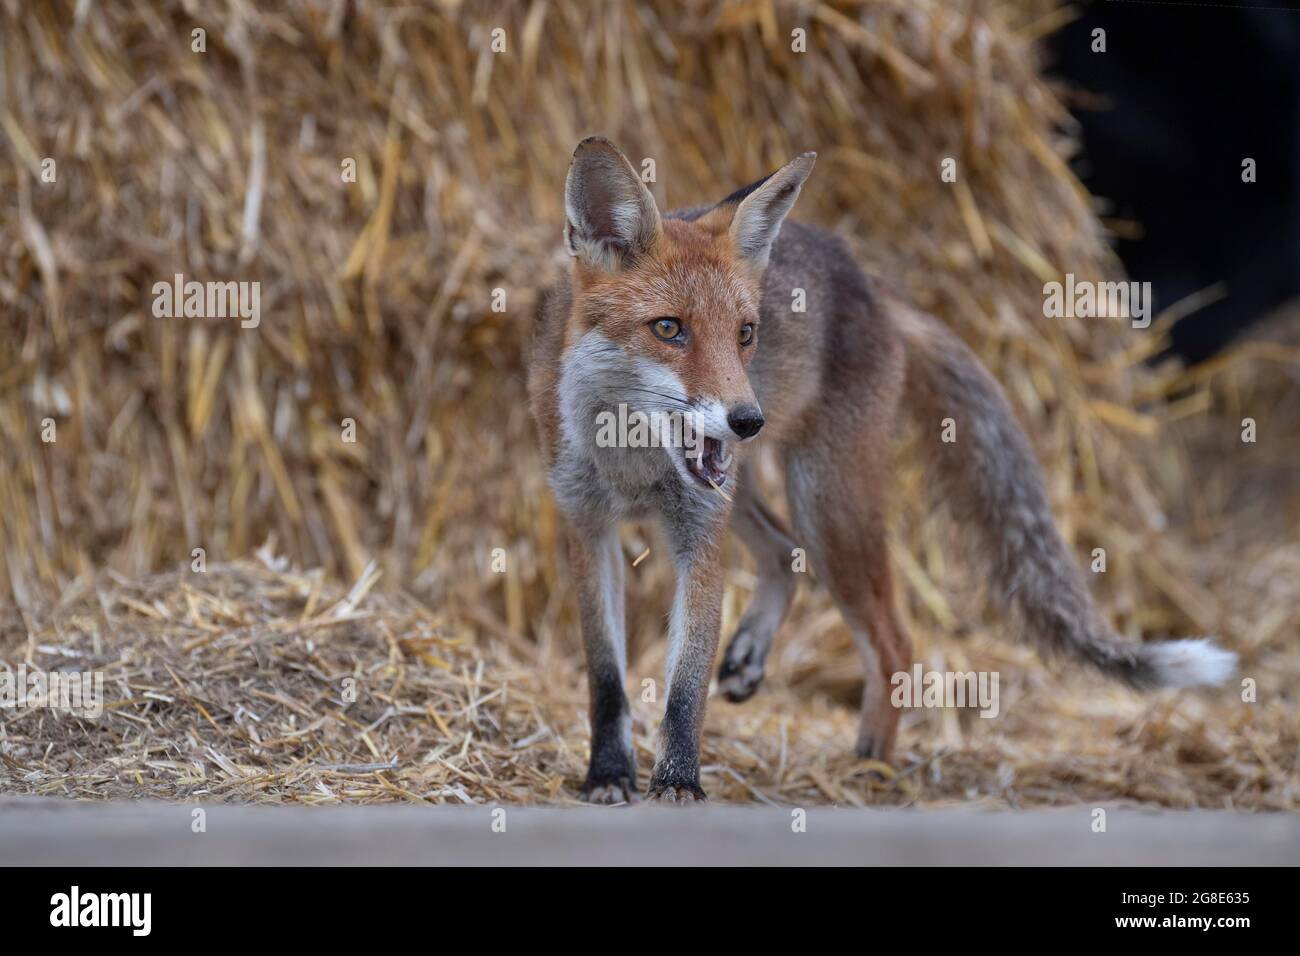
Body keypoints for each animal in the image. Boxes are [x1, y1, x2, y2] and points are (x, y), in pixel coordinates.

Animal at [527, 136, 1236, 804]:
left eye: (745, 334)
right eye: (669, 329)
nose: (747, 420)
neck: (630, 468)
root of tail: (875, 285)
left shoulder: (698, 532)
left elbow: (686, 685)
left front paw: (677, 784)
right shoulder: (588, 527)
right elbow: (606, 677)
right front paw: (608, 775)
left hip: (827, 506)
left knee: (893, 639)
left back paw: (870, 763)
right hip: (772, 493)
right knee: (784, 553)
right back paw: (758, 661)